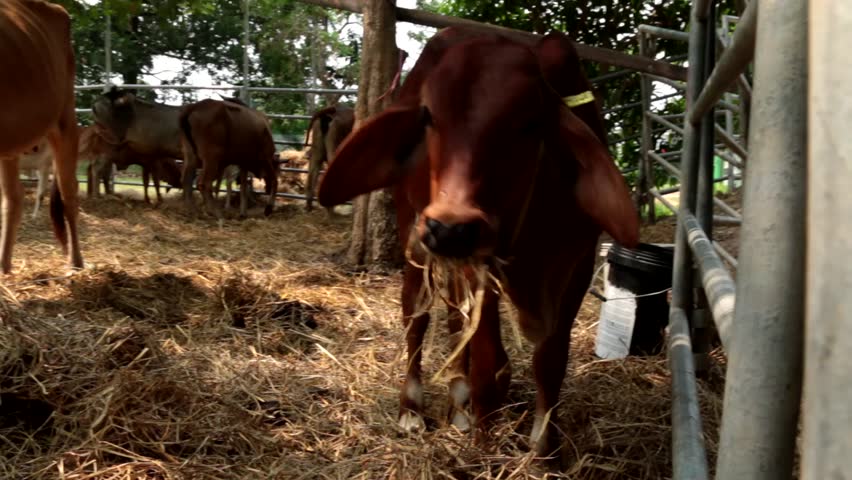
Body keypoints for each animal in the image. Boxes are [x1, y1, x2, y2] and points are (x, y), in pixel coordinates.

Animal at [317, 27, 639, 463]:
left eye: (529, 122)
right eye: (429, 117)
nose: (449, 229)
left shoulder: (578, 264)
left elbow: (550, 359)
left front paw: (545, 448)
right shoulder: (481, 268)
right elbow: (490, 363)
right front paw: (485, 444)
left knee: (455, 321)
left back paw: (459, 402)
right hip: (415, 241)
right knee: (416, 318)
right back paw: (412, 409)